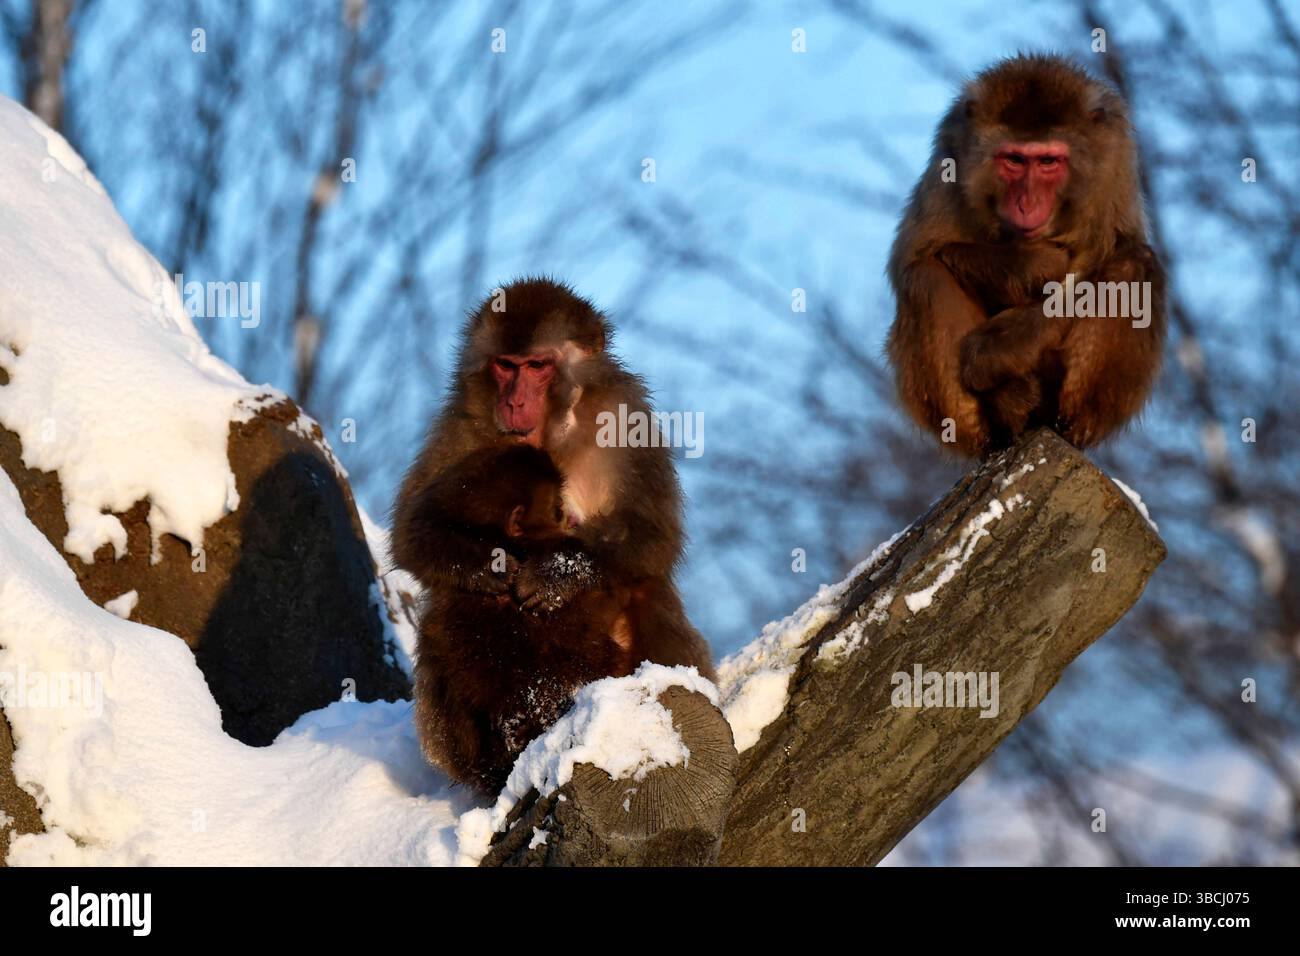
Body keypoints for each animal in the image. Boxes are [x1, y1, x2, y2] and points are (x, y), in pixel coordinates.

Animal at [391, 277, 714, 793]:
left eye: (537, 367)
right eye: (505, 366)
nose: (513, 402)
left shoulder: (626, 412)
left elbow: (654, 536)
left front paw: (556, 573)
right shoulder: (460, 423)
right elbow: (413, 531)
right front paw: (486, 564)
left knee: (645, 586)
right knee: (442, 605)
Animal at [887, 53, 1166, 457]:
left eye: (1048, 162)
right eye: (1015, 160)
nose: (1026, 204)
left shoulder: (1111, 164)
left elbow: (1098, 262)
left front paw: (991, 350)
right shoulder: (950, 153)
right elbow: (915, 253)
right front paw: (1030, 265)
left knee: (1134, 266)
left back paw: (1063, 418)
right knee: (924, 276)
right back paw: (1004, 412)